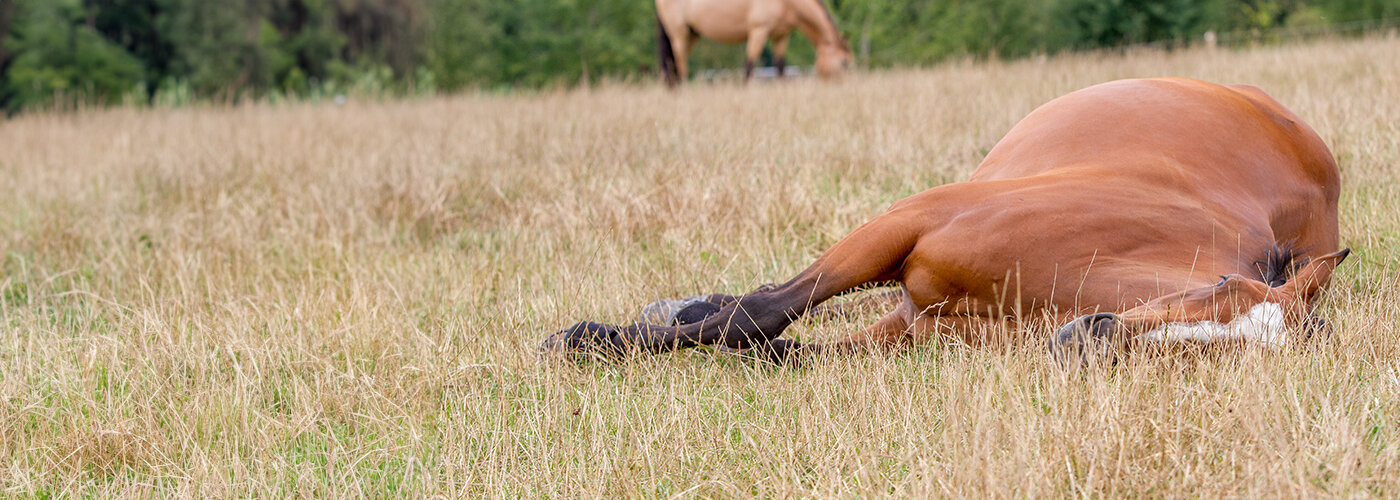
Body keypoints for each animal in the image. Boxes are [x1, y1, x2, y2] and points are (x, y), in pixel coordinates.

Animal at [540, 77, 1348, 367]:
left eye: (1217, 358)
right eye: (1216, 289)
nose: (1087, 337)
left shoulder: (908, 326)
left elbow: (779, 348)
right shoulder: (908, 221)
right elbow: (765, 314)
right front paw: (586, 339)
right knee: (764, 297)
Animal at [656, 0, 853, 86]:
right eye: (843, 63)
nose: (843, 85)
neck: (789, 4)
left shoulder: (780, 35)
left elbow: (780, 67)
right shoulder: (758, 29)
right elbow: (750, 66)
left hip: (692, 33)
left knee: (671, 64)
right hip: (678, 31)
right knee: (679, 63)